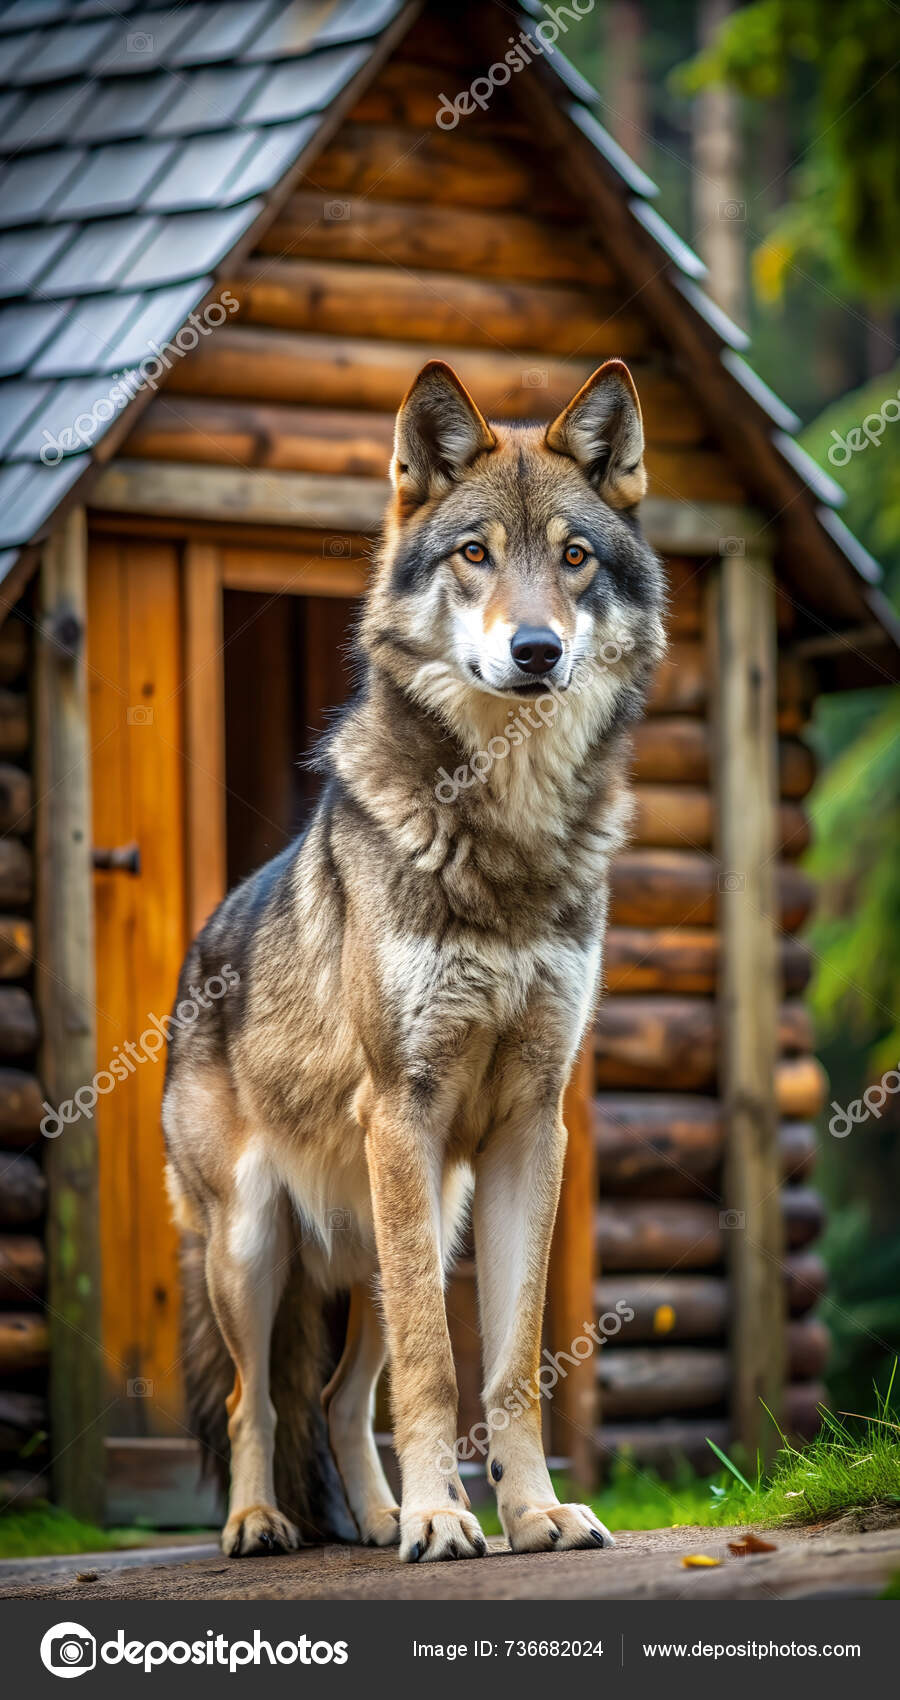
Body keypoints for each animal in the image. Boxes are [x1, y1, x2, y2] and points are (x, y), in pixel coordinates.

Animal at [163, 357, 666, 1562]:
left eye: (573, 557)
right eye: (474, 552)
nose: (537, 650)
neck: (509, 835)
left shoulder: (534, 1125)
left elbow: (511, 1361)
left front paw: (529, 1514)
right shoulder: (406, 1105)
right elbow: (441, 1368)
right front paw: (447, 1518)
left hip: (415, 1227)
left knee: (339, 1397)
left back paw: (378, 1516)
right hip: (255, 1245)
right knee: (257, 1398)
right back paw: (262, 1521)